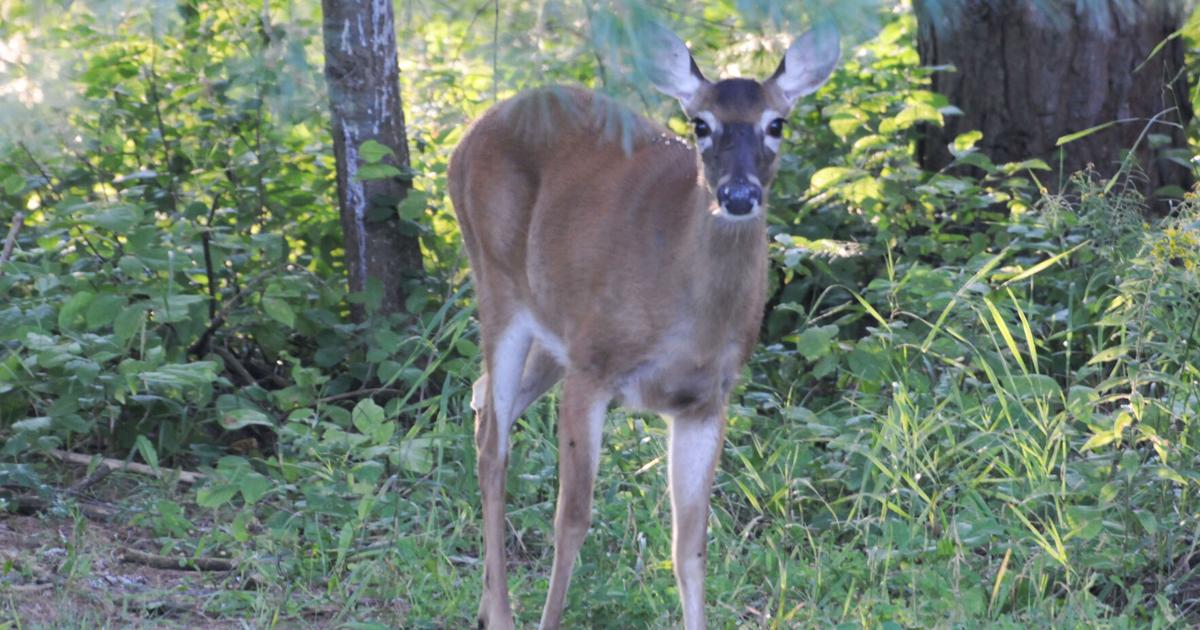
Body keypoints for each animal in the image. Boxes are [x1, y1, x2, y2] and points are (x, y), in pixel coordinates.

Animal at [448, 22, 839, 630]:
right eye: (700, 124)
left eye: (777, 123)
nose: (739, 195)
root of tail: (471, 132)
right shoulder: (592, 367)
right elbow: (572, 520)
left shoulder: (707, 400)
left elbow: (690, 544)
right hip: (498, 283)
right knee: (494, 444)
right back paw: (504, 614)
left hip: (550, 332)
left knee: (482, 399)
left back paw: (488, 605)